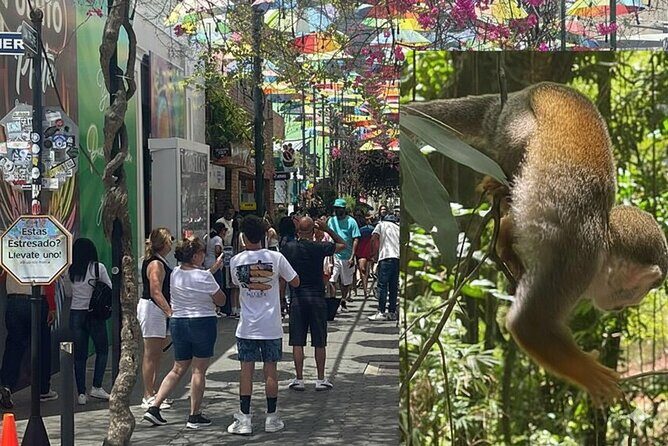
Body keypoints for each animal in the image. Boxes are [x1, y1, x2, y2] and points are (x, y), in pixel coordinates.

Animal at [406, 82, 668, 405]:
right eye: (638, 292)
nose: (622, 309)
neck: (604, 243)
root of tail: (529, 90)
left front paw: (507, 244)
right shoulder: (577, 259)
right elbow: (529, 323)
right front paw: (591, 374)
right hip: (513, 121)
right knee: (522, 142)